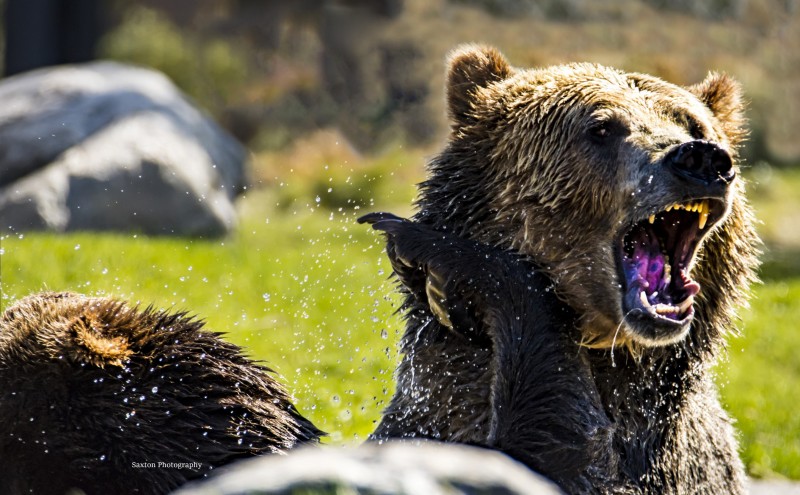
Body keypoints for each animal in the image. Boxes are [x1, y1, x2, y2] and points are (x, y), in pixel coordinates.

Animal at [360, 44, 760, 495]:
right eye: (601, 128)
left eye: (694, 124)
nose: (701, 158)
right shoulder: (437, 418)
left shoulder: (683, 461)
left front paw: (447, 256)